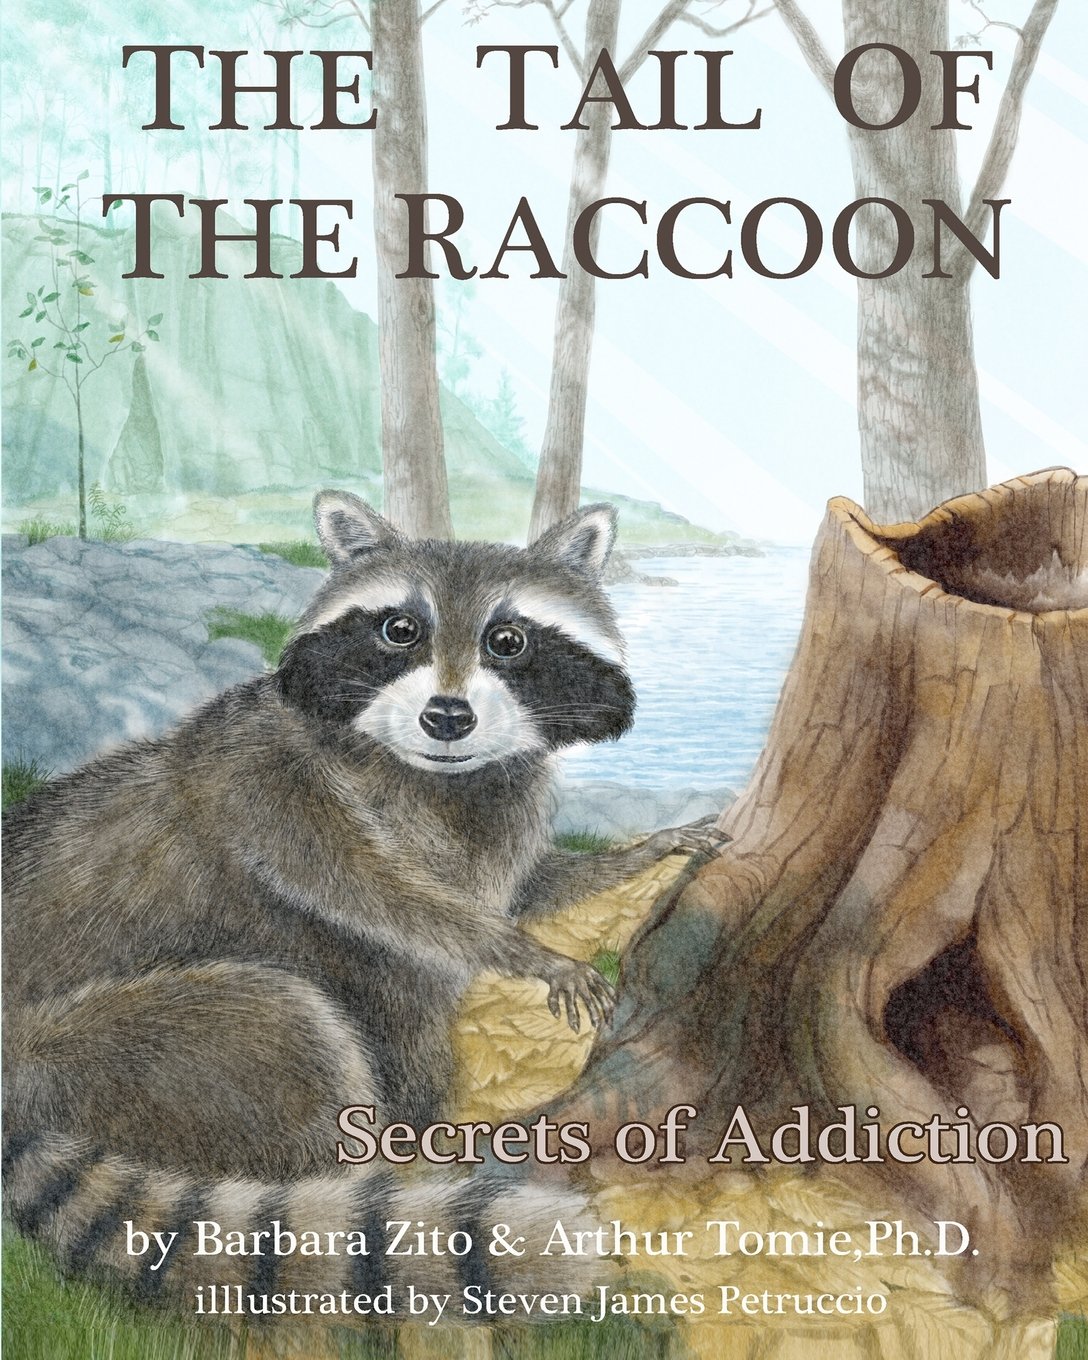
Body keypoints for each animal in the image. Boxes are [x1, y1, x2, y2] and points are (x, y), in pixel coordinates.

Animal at [2, 493, 722, 1301]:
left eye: (508, 641)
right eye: (399, 630)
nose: (448, 717)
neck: (442, 776)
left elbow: (524, 885)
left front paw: (635, 855)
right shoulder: (267, 774)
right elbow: (380, 896)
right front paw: (514, 948)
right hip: (95, 1051)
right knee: (285, 1025)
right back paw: (380, 1164)